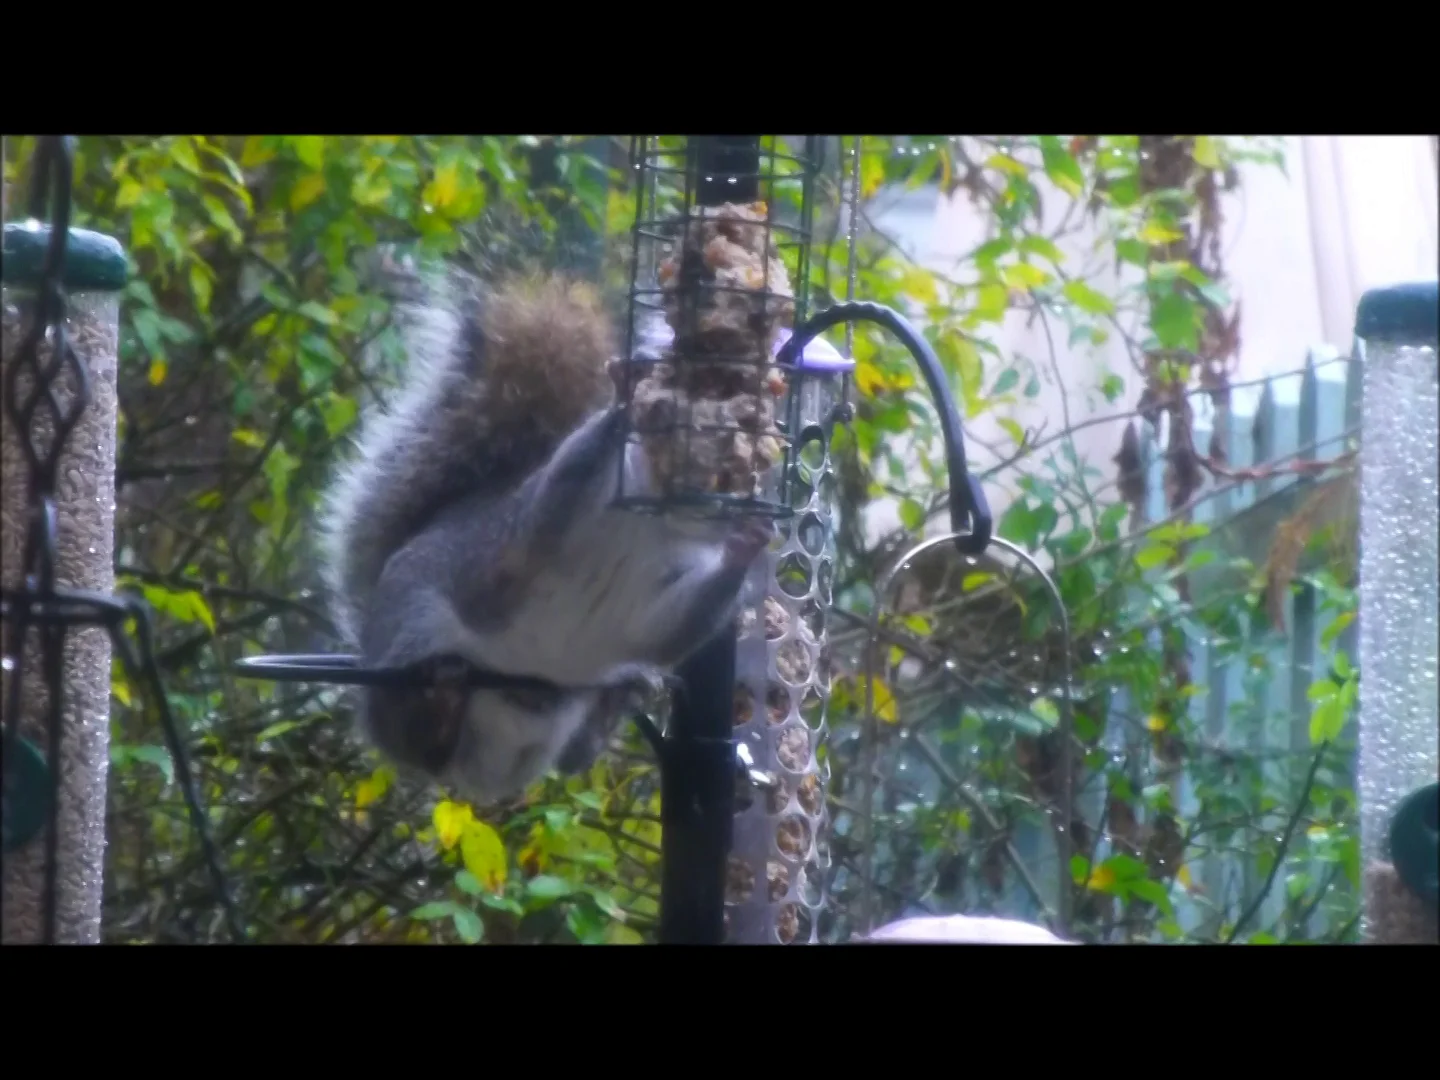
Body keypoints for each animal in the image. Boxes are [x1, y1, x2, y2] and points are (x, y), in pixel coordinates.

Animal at [319, 262, 771, 806]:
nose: (724, 501)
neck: (653, 524)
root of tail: (482, 778)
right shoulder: (544, 517)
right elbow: (561, 494)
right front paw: (625, 400)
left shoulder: (672, 586)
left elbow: (672, 625)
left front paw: (746, 548)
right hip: (410, 631)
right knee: (409, 737)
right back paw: (435, 710)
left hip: (565, 705)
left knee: (576, 757)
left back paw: (620, 695)